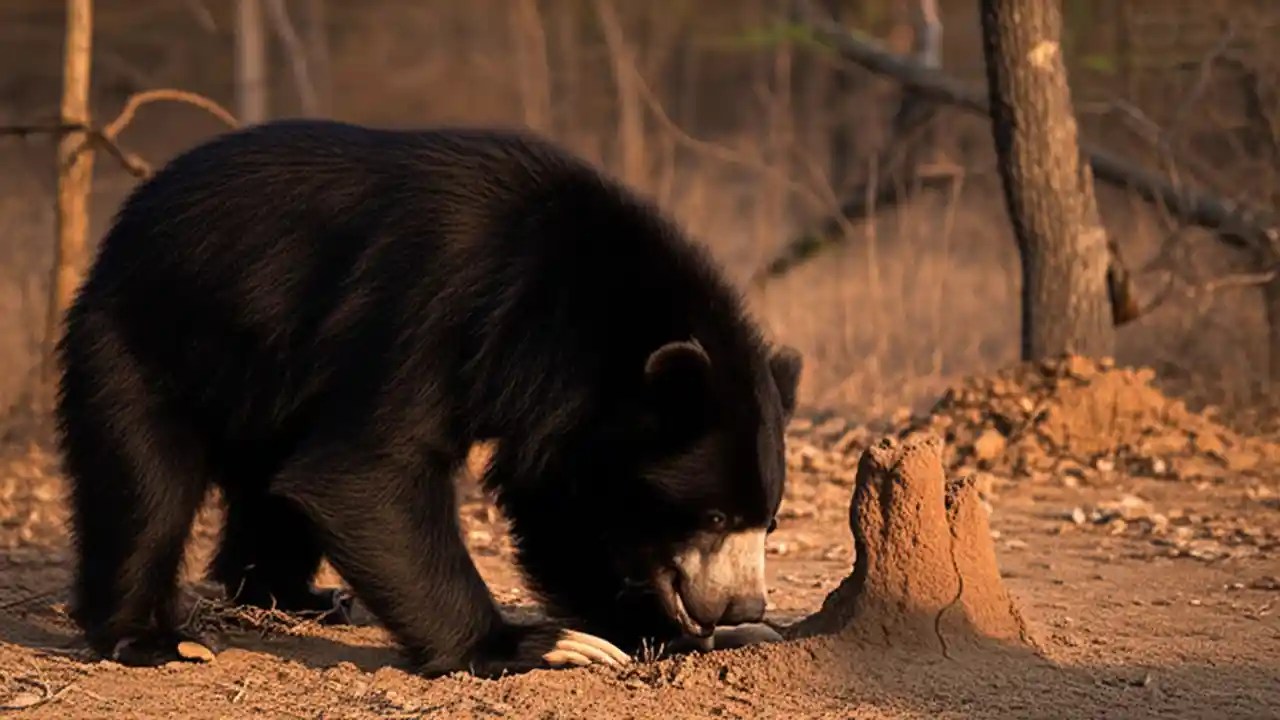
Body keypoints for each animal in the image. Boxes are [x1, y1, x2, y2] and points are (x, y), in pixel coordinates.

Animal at [53, 118, 803, 678]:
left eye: (767, 522)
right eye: (711, 516)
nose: (740, 606)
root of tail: (126, 228)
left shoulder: (566, 404)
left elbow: (559, 502)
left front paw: (664, 633)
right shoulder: (433, 298)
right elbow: (364, 471)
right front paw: (541, 645)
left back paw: (301, 597)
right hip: (138, 340)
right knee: (145, 485)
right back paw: (151, 639)